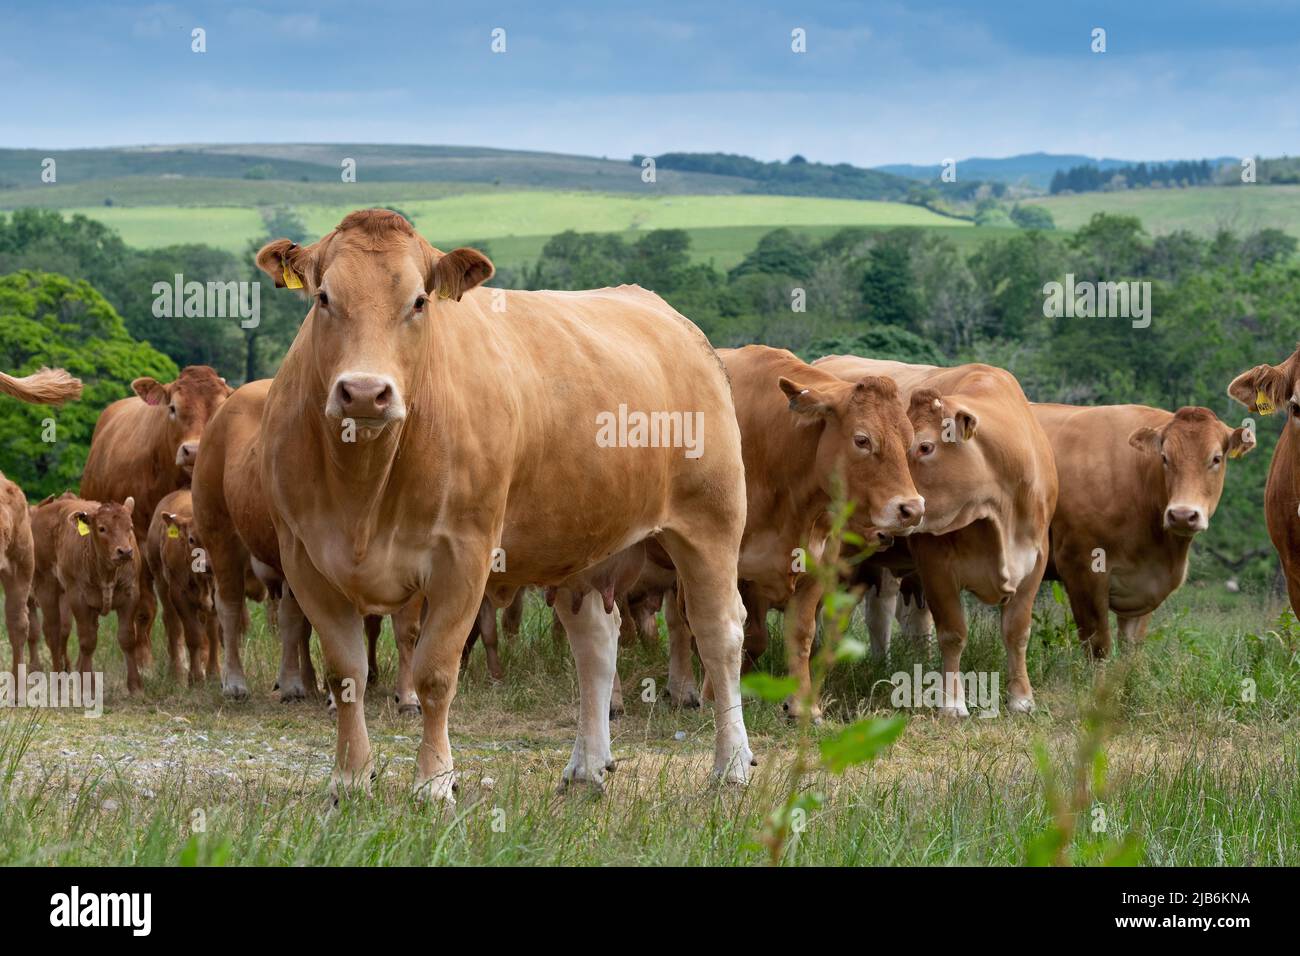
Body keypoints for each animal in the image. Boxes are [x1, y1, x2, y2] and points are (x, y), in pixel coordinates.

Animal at [31, 495, 140, 694]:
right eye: (102, 528)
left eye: (130, 526)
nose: (125, 552)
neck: (107, 573)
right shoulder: (78, 598)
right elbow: (87, 641)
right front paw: (88, 686)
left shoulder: (131, 595)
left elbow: (127, 638)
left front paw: (135, 686)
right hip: (46, 586)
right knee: (53, 632)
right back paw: (58, 680)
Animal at [146, 489, 220, 685]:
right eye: (192, 539)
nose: (207, 565)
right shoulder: (179, 594)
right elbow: (193, 635)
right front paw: (195, 677)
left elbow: (213, 633)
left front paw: (214, 673)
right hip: (162, 583)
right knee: (173, 624)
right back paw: (177, 672)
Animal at [254, 208, 753, 803]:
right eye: (324, 298)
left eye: (418, 301)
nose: (365, 392)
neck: (363, 489)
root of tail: (672, 320)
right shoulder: (304, 558)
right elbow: (346, 673)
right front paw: (350, 781)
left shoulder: (463, 557)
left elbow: (435, 674)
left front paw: (434, 784)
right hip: (582, 542)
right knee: (595, 644)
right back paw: (587, 767)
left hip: (711, 522)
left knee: (720, 634)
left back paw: (732, 765)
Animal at [815, 356, 1057, 716]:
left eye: (924, 446)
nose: (906, 505)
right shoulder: (936, 565)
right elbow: (953, 633)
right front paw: (952, 702)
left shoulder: (1034, 562)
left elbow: (1017, 632)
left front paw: (1021, 698)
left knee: (880, 614)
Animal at [1033, 403, 1255, 657]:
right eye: (1164, 458)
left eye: (1216, 458)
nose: (1182, 515)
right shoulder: (1080, 567)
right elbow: (1099, 646)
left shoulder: (1145, 587)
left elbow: (1131, 649)